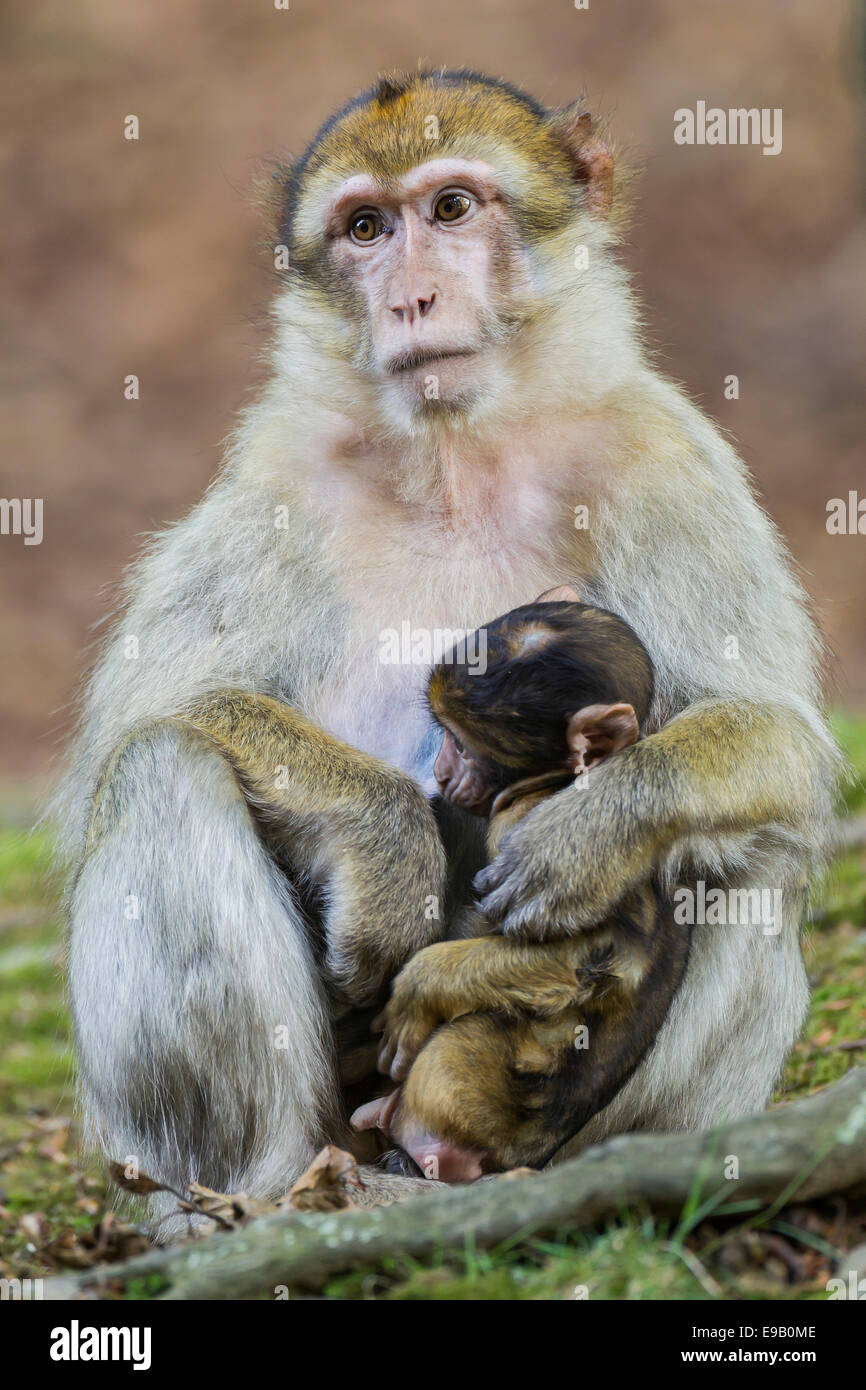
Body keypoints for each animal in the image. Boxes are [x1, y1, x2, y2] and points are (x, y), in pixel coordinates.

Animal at [351, 591, 691, 1178]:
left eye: (463, 744)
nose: (441, 772)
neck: (554, 782)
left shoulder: (523, 823)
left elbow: (586, 953)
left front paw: (419, 985)